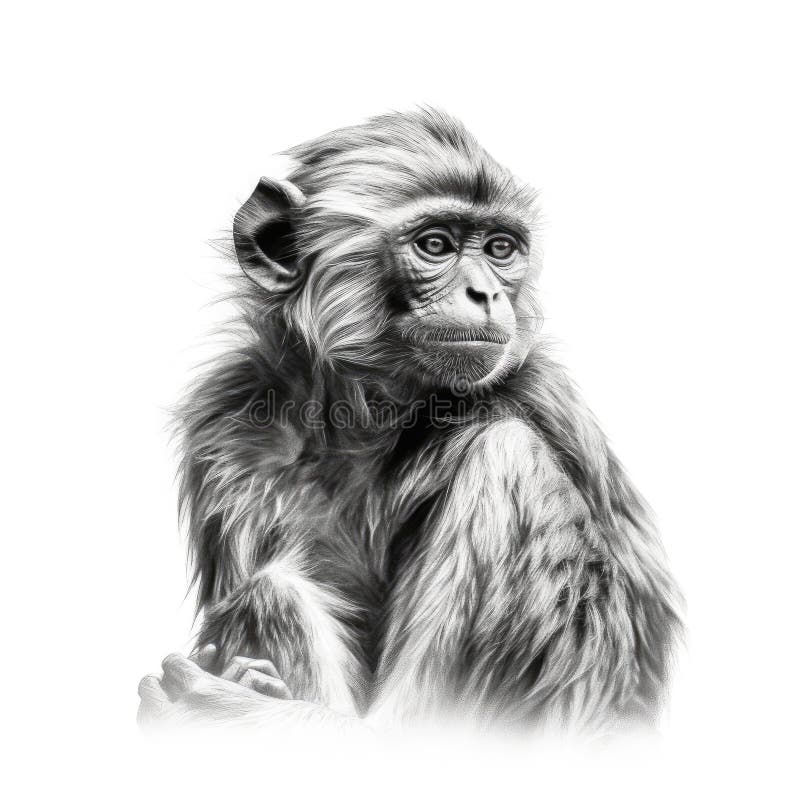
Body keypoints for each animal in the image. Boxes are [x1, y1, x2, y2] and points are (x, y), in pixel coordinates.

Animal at [137, 109, 682, 735]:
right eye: (435, 245)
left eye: (500, 248)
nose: (486, 292)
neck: (364, 418)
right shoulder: (232, 436)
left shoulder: (534, 393)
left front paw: (236, 712)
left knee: (505, 452)